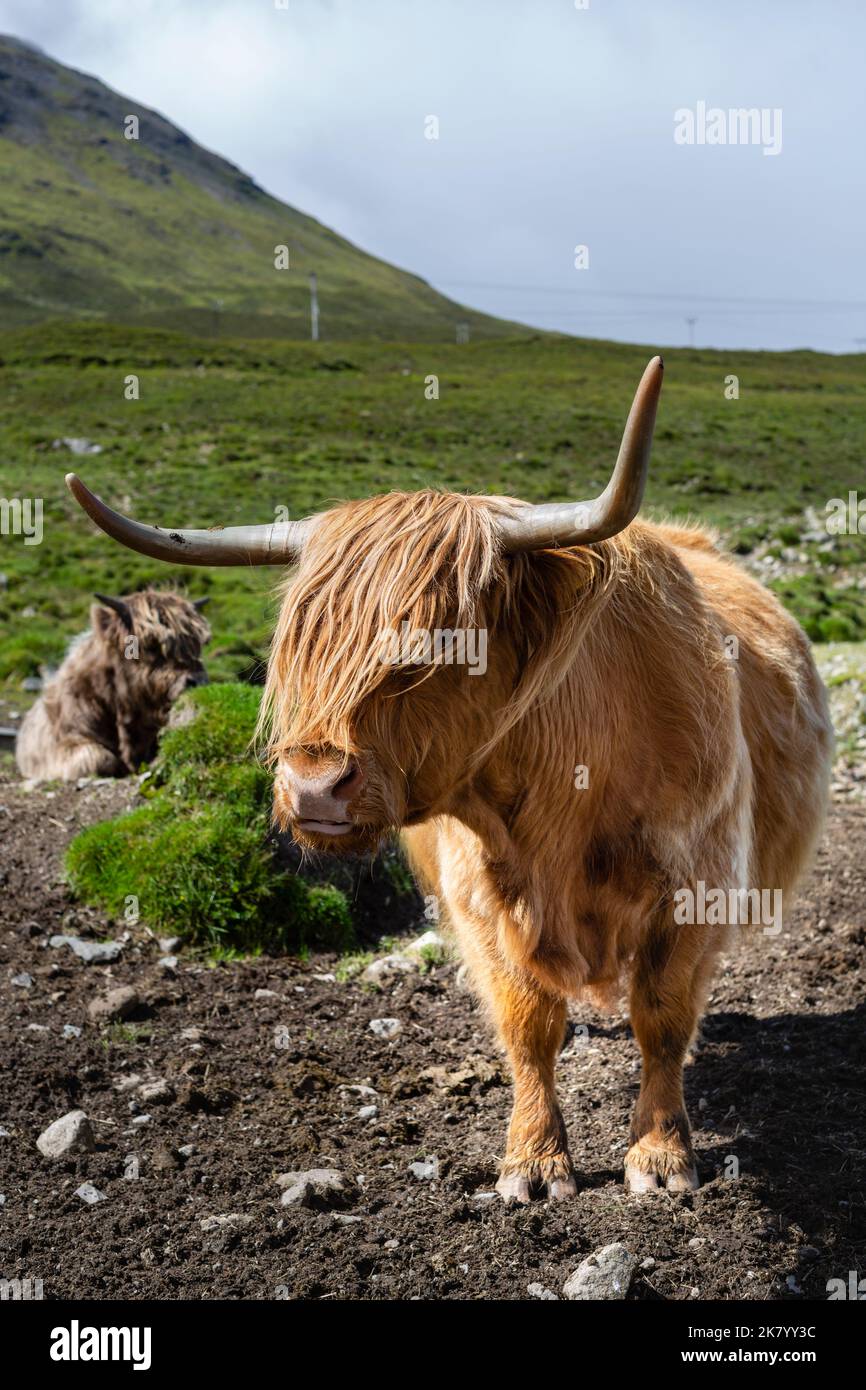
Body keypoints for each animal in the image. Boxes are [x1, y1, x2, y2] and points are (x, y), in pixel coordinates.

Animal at [65, 357, 833, 1201]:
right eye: (299, 646)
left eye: (435, 645)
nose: (313, 785)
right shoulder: (478, 897)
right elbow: (528, 1026)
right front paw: (534, 1161)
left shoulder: (696, 882)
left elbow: (660, 1017)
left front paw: (661, 1155)